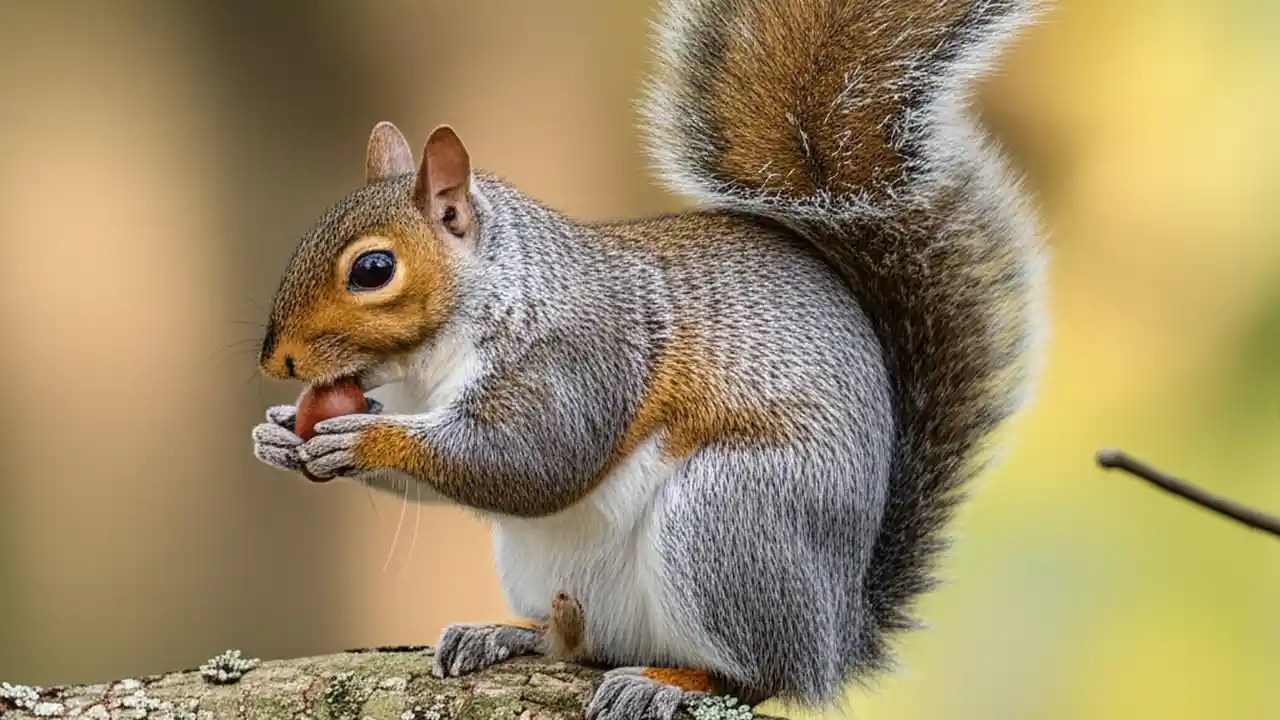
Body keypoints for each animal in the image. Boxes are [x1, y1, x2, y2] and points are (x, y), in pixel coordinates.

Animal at [250, 0, 1046, 717]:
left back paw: (672, 683)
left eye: (373, 269)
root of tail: (836, 635)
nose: (274, 363)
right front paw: (279, 435)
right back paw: (509, 635)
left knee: (759, 676)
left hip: (726, 520)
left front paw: (364, 438)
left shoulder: (582, 354)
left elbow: (532, 462)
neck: (433, 362)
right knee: (583, 642)